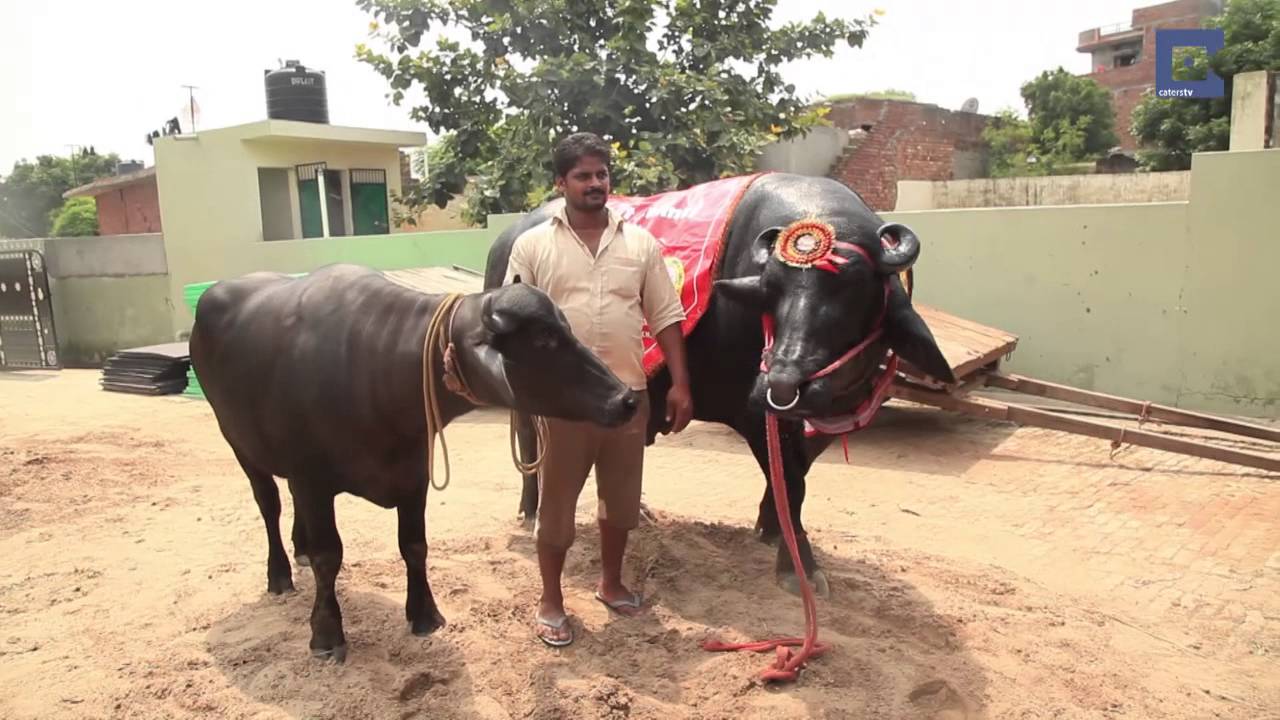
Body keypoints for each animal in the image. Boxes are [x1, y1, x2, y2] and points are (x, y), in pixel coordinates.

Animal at [189, 264, 639, 661]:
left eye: (565, 326)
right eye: (545, 338)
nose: (626, 399)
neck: (377, 370)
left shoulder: (413, 475)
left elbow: (415, 546)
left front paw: (424, 614)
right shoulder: (312, 479)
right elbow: (328, 557)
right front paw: (326, 634)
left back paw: (298, 550)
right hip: (239, 443)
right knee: (269, 504)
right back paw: (280, 573)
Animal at [484, 172, 956, 597]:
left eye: (853, 287)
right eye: (771, 290)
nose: (783, 383)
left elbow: (796, 473)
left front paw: (770, 527)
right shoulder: (755, 413)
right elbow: (792, 480)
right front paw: (798, 566)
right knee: (531, 438)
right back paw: (531, 511)